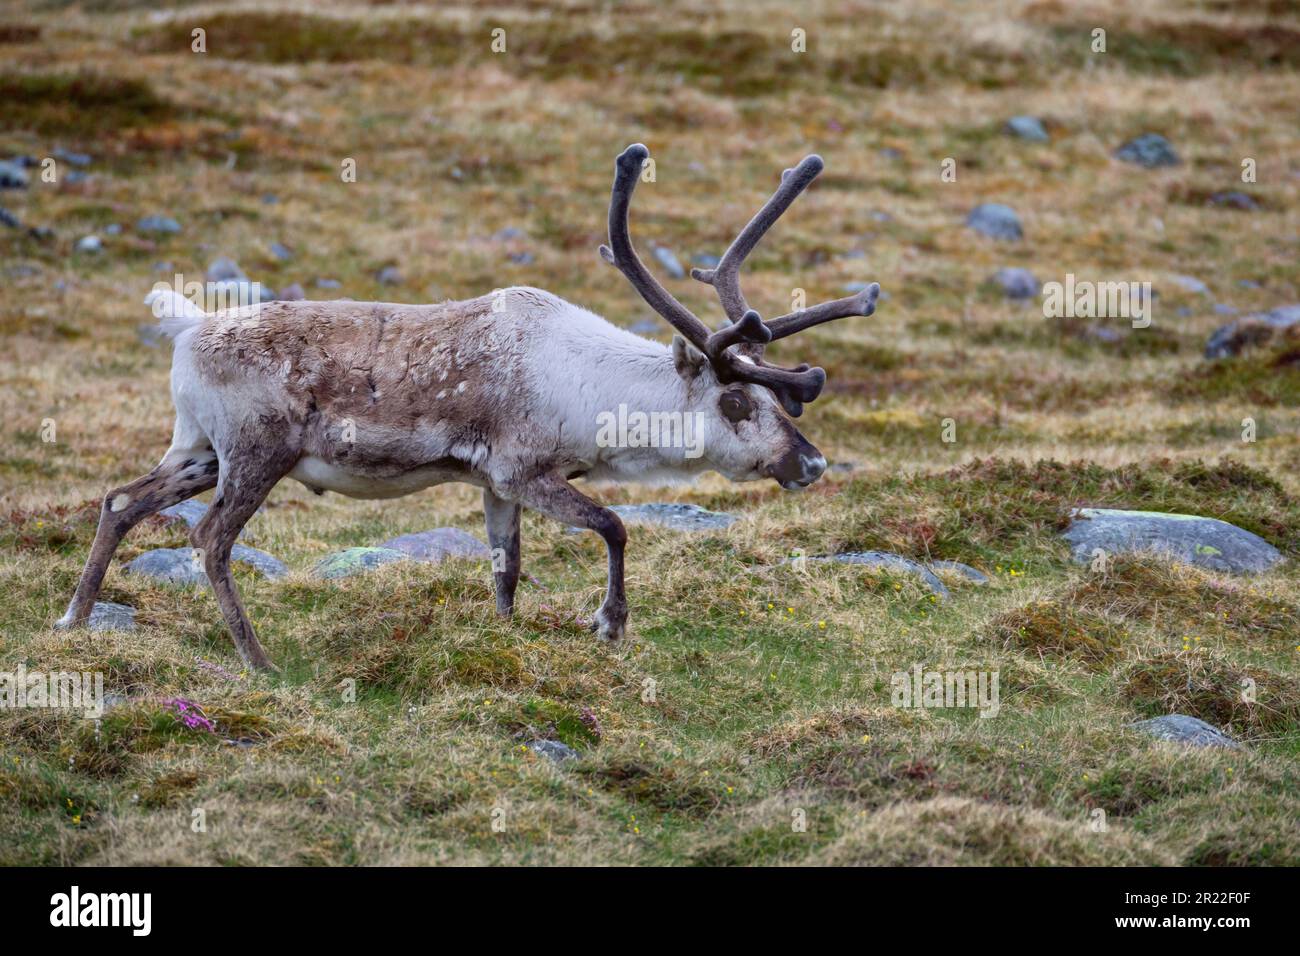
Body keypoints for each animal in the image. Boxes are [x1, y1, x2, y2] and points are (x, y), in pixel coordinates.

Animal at [56, 144, 880, 670]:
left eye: (781, 395)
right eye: (737, 399)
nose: (811, 462)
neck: (588, 384)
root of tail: (187, 326)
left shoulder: (493, 484)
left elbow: (506, 570)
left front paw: (505, 640)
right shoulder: (523, 468)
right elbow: (615, 525)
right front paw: (609, 623)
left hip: (198, 448)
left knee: (120, 500)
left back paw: (75, 618)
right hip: (258, 453)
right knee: (209, 540)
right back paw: (258, 660)